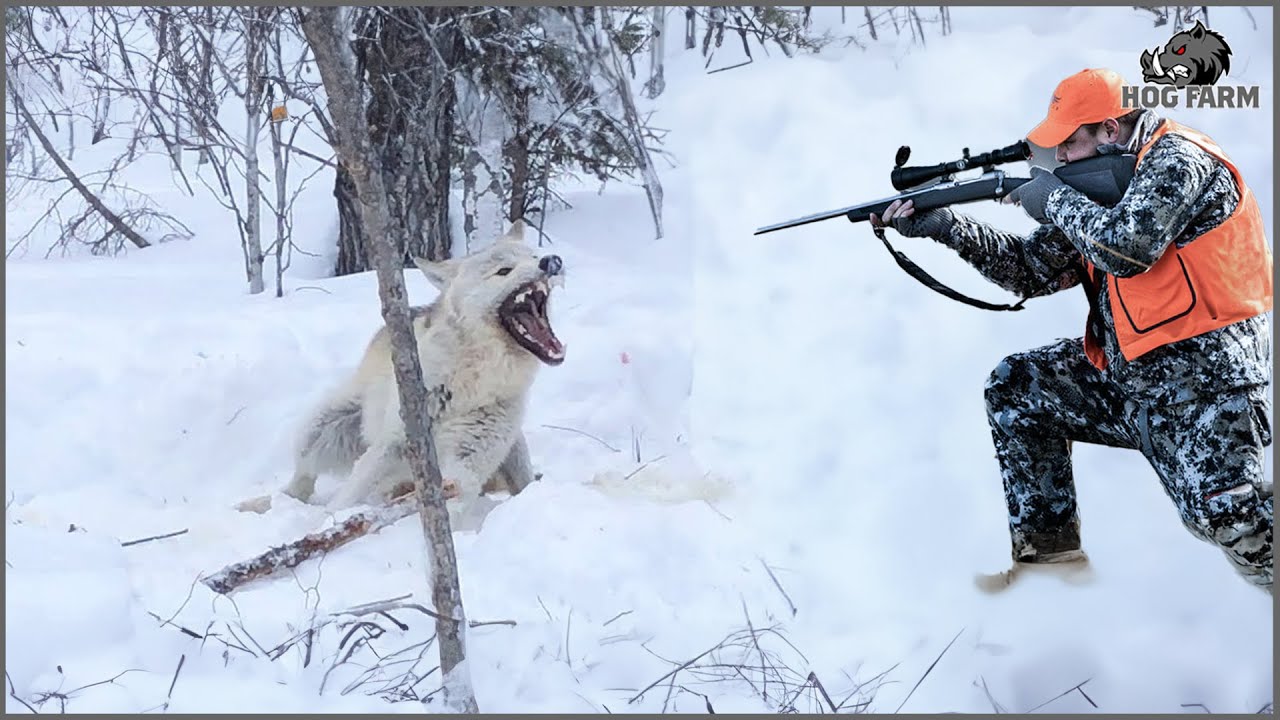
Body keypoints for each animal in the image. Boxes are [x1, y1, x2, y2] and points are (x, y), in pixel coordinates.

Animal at [239, 223, 565, 514]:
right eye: (503, 271)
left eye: (533, 255)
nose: (551, 261)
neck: (469, 382)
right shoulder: (392, 444)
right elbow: (342, 502)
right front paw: (327, 526)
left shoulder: (470, 456)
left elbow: (458, 491)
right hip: (319, 427)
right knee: (301, 483)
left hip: (514, 448)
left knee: (521, 482)